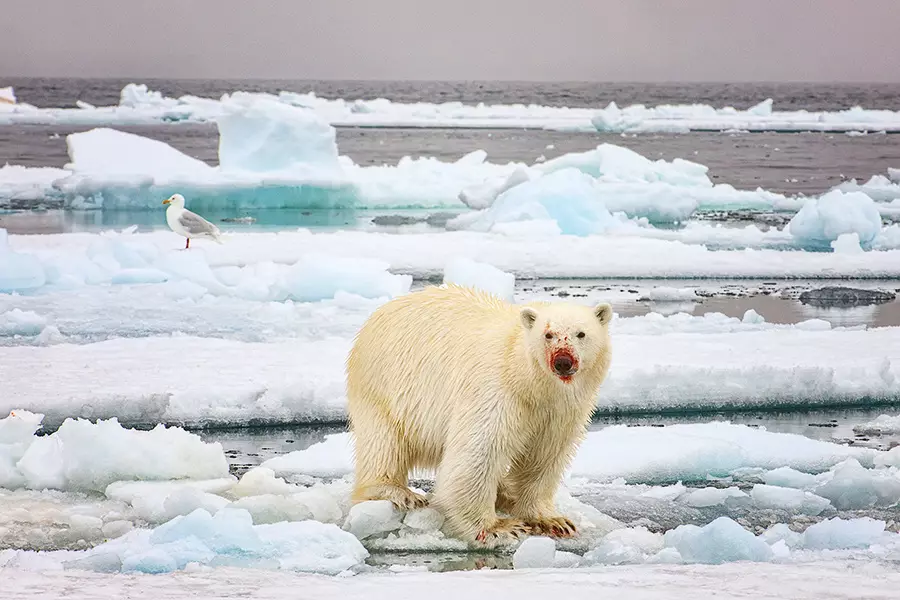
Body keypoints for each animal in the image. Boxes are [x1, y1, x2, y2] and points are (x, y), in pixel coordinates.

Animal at [344, 284, 612, 540]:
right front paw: (497, 528)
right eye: (548, 334)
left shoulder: (561, 410)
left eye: (581, 334)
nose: (563, 361)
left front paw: (552, 521)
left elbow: (544, 455)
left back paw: (505, 493)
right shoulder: (497, 391)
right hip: (384, 387)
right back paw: (399, 493)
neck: (529, 382)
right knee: (384, 443)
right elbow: (479, 452)